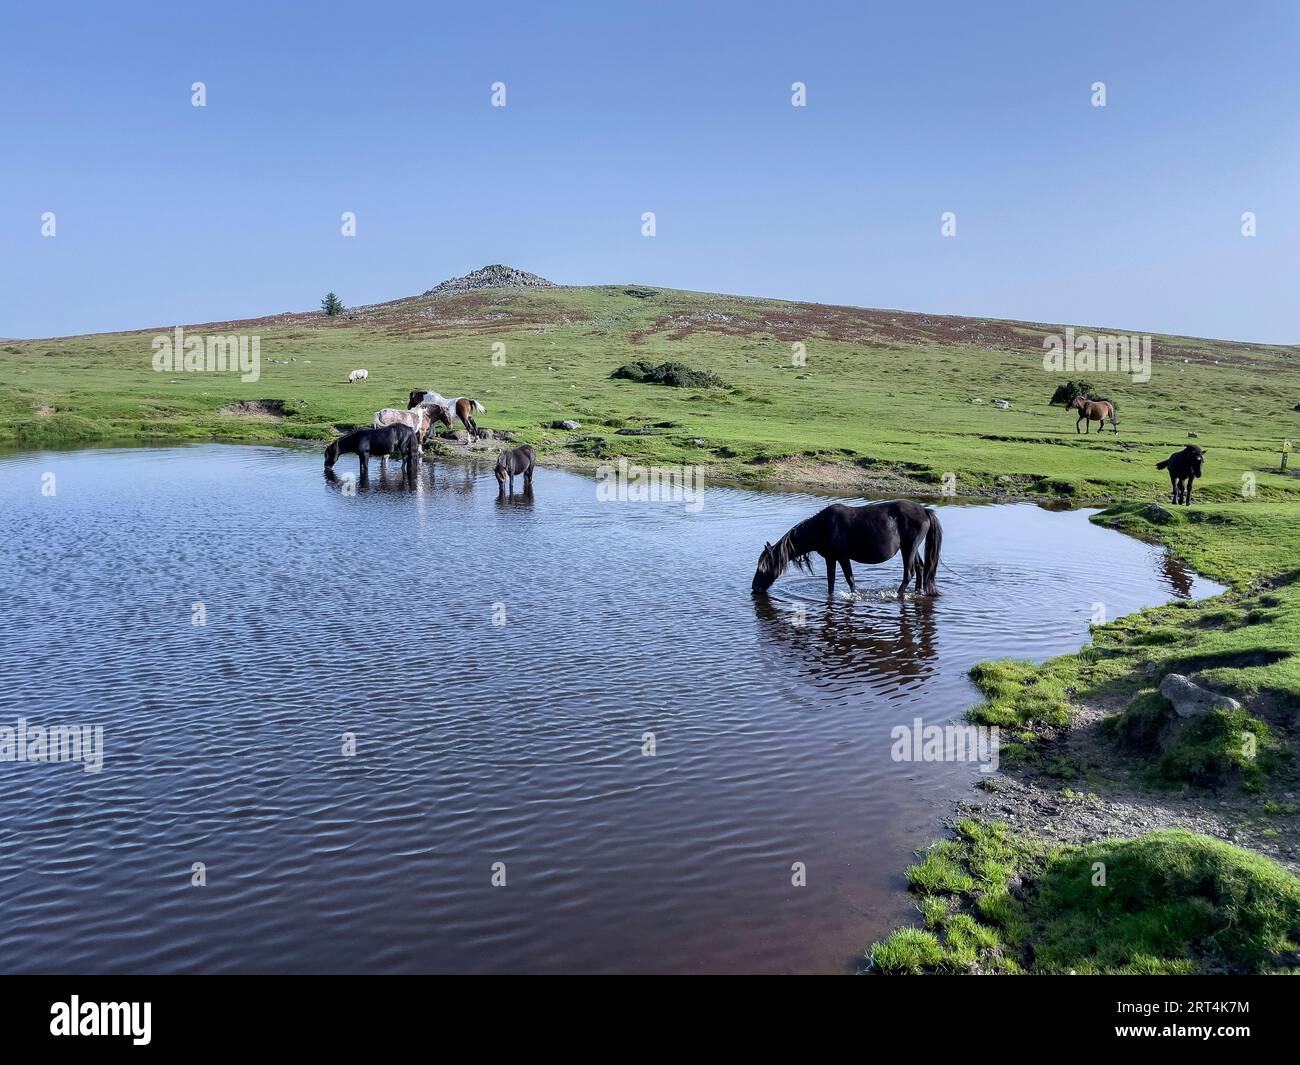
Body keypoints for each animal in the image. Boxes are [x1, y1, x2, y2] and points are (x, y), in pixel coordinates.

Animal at [752, 500, 942, 598]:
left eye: (764, 567)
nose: (755, 587)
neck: (823, 527)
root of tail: (924, 510)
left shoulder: (843, 557)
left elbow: (850, 580)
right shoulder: (830, 558)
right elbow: (831, 582)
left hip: (909, 547)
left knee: (909, 573)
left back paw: (897, 594)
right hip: (910, 548)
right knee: (920, 568)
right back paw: (917, 592)